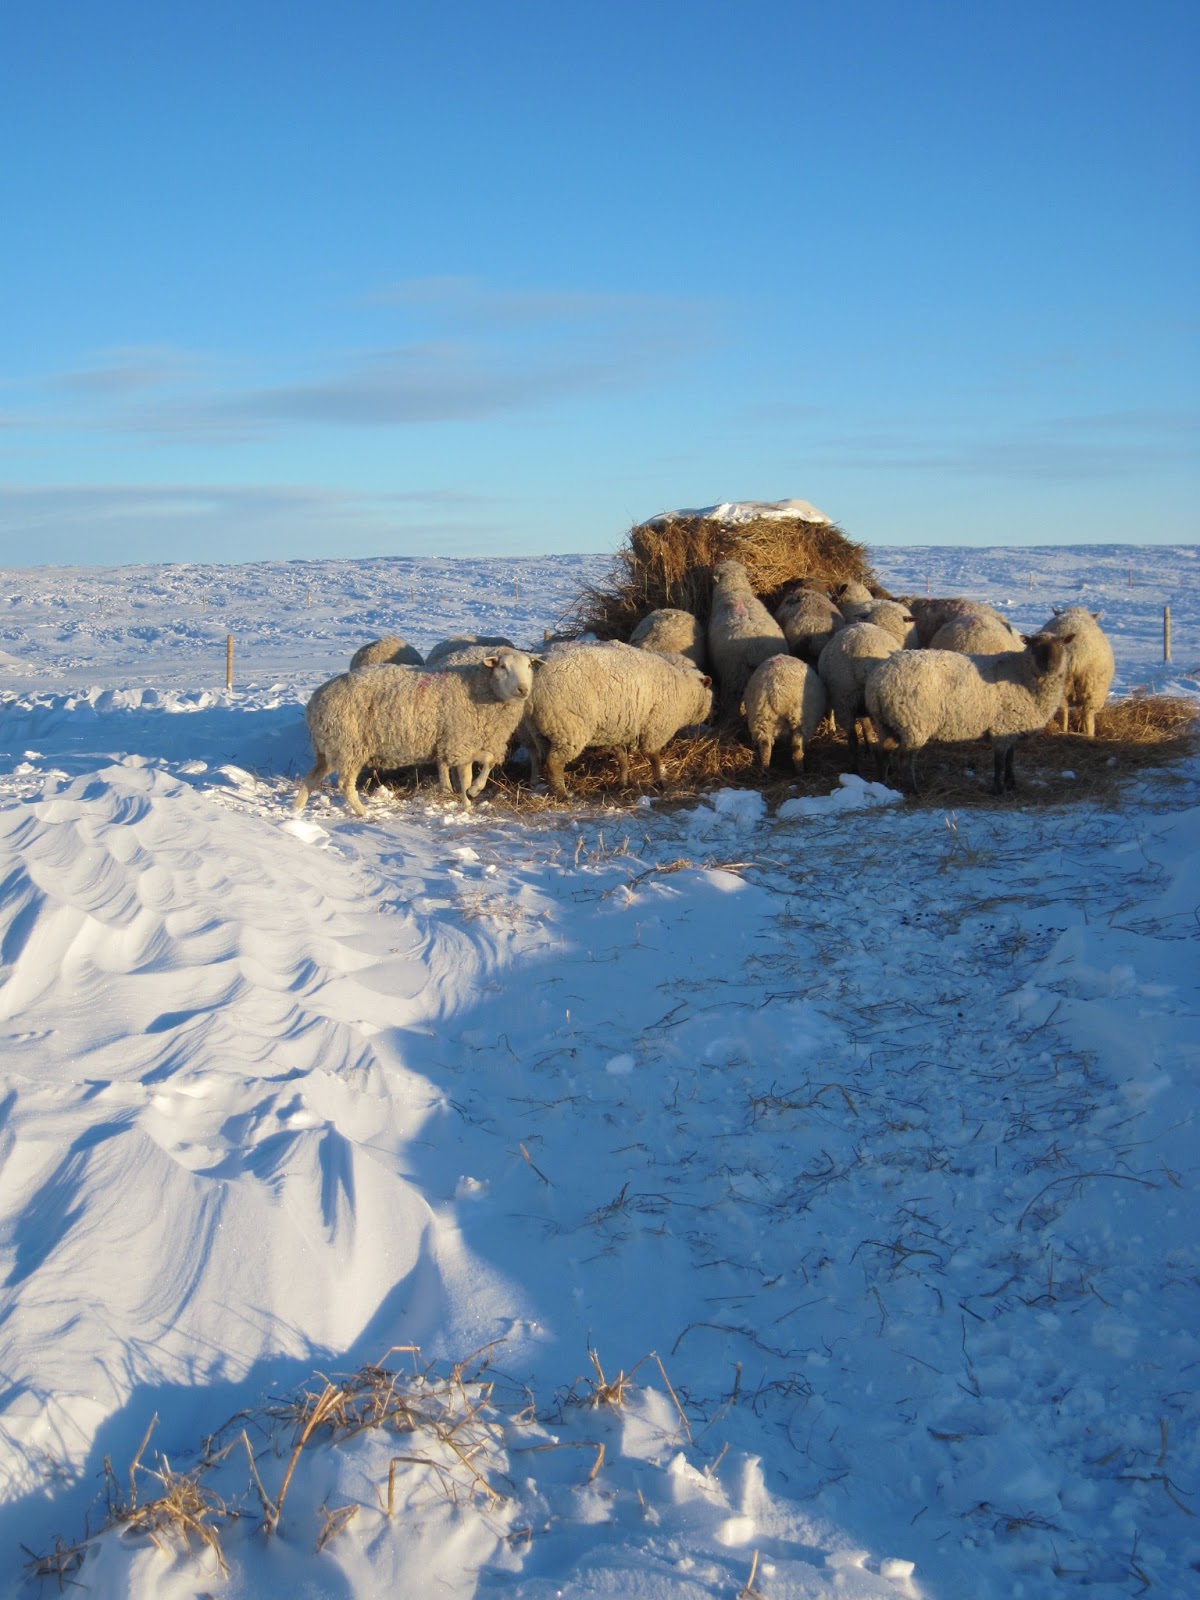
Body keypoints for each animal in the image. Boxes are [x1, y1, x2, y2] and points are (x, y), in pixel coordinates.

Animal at [294, 648, 539, 816]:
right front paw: (470, 799)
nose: (523, 690)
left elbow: (488, 761)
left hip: (329, 749)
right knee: (345, 784)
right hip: (349, 746)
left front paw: (472, 796)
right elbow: (467, 776)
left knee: (311, 779)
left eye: (529, 666)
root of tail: (314, 702)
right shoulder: (459, 741)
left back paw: (296, 810)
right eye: (502, 667)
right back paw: (364, 812)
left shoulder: (468, 742)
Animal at [522, 640, 713, 796]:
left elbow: (622, 756)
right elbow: (654, 756)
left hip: (539, 730)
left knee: (540, 758)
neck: (683, 684)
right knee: (554, 763)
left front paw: (624, 781)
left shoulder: (615, 728)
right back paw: (563, 795)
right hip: (569, 728)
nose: (710, 716)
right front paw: (659, 782)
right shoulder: (656, 727)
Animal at [865, 630, 1073, 794]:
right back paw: (914, 790)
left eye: (1061, 644)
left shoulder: (1011, 726)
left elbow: (1010, 758)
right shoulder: (1002, 728)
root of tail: (879, 680)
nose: (1049, 668)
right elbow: (999, 762)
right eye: (1034, 646)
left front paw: (1011, 783)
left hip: (886, 722)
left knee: (882, 752)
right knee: (905, 759)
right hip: (914, 723)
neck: (1023, 674)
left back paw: (883, 783)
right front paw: (998, 789)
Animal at [1040, 607, 1115, 736]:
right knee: (1087, 715)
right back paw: (1089, 735)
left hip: (1061, 685)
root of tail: (1073, 653)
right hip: (1093, 688)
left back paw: (1063, 731)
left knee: (1063, 710)